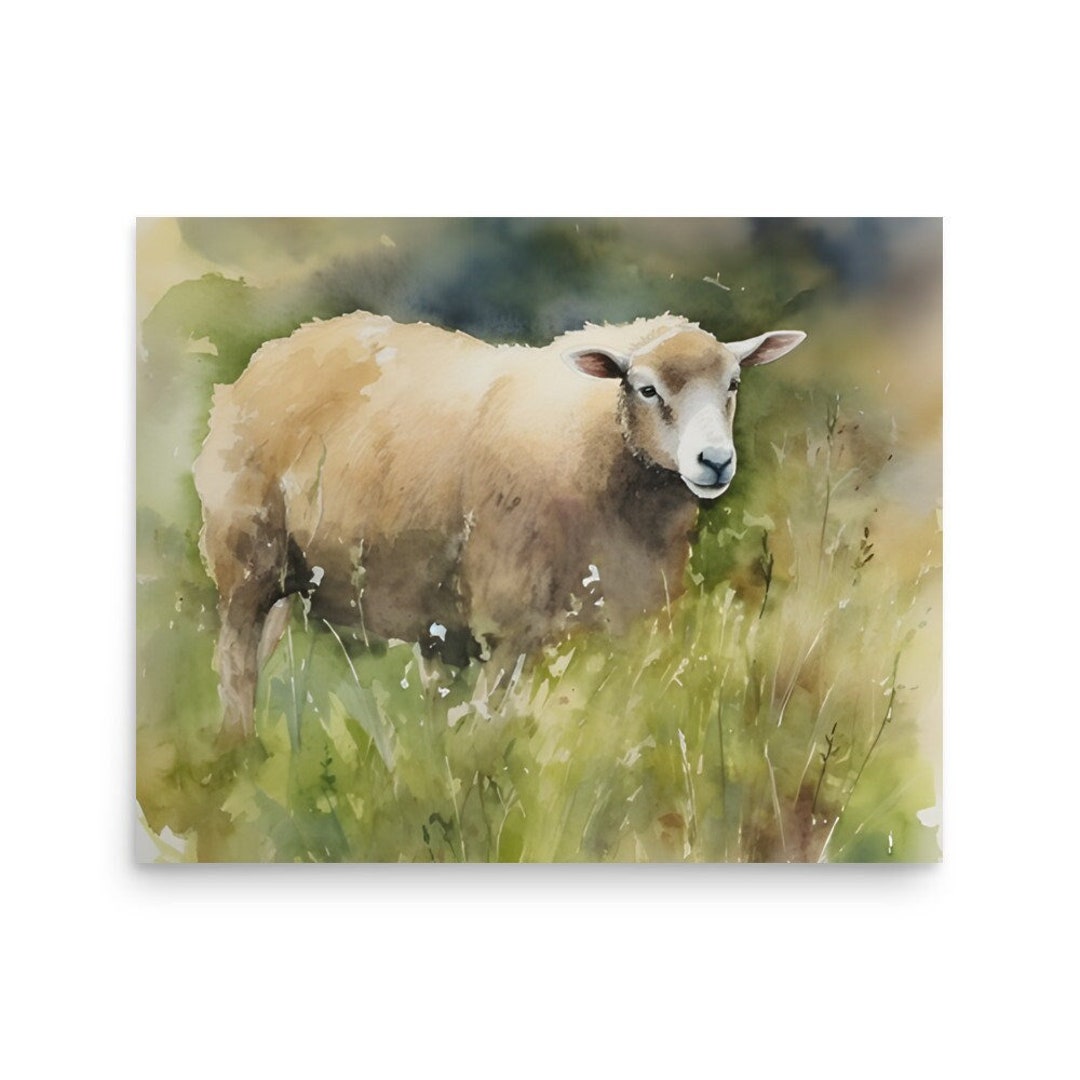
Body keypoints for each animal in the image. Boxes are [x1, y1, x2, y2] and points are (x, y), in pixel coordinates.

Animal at [193, 311, 805, 741]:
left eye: (732, 384)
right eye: (647, 388)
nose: (714, 461)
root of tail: (278, 348)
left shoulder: (635, 630)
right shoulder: (509, 625)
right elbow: (491, 733)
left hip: (334, 589)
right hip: (245, 556)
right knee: (235, 665)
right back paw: (238, 750)